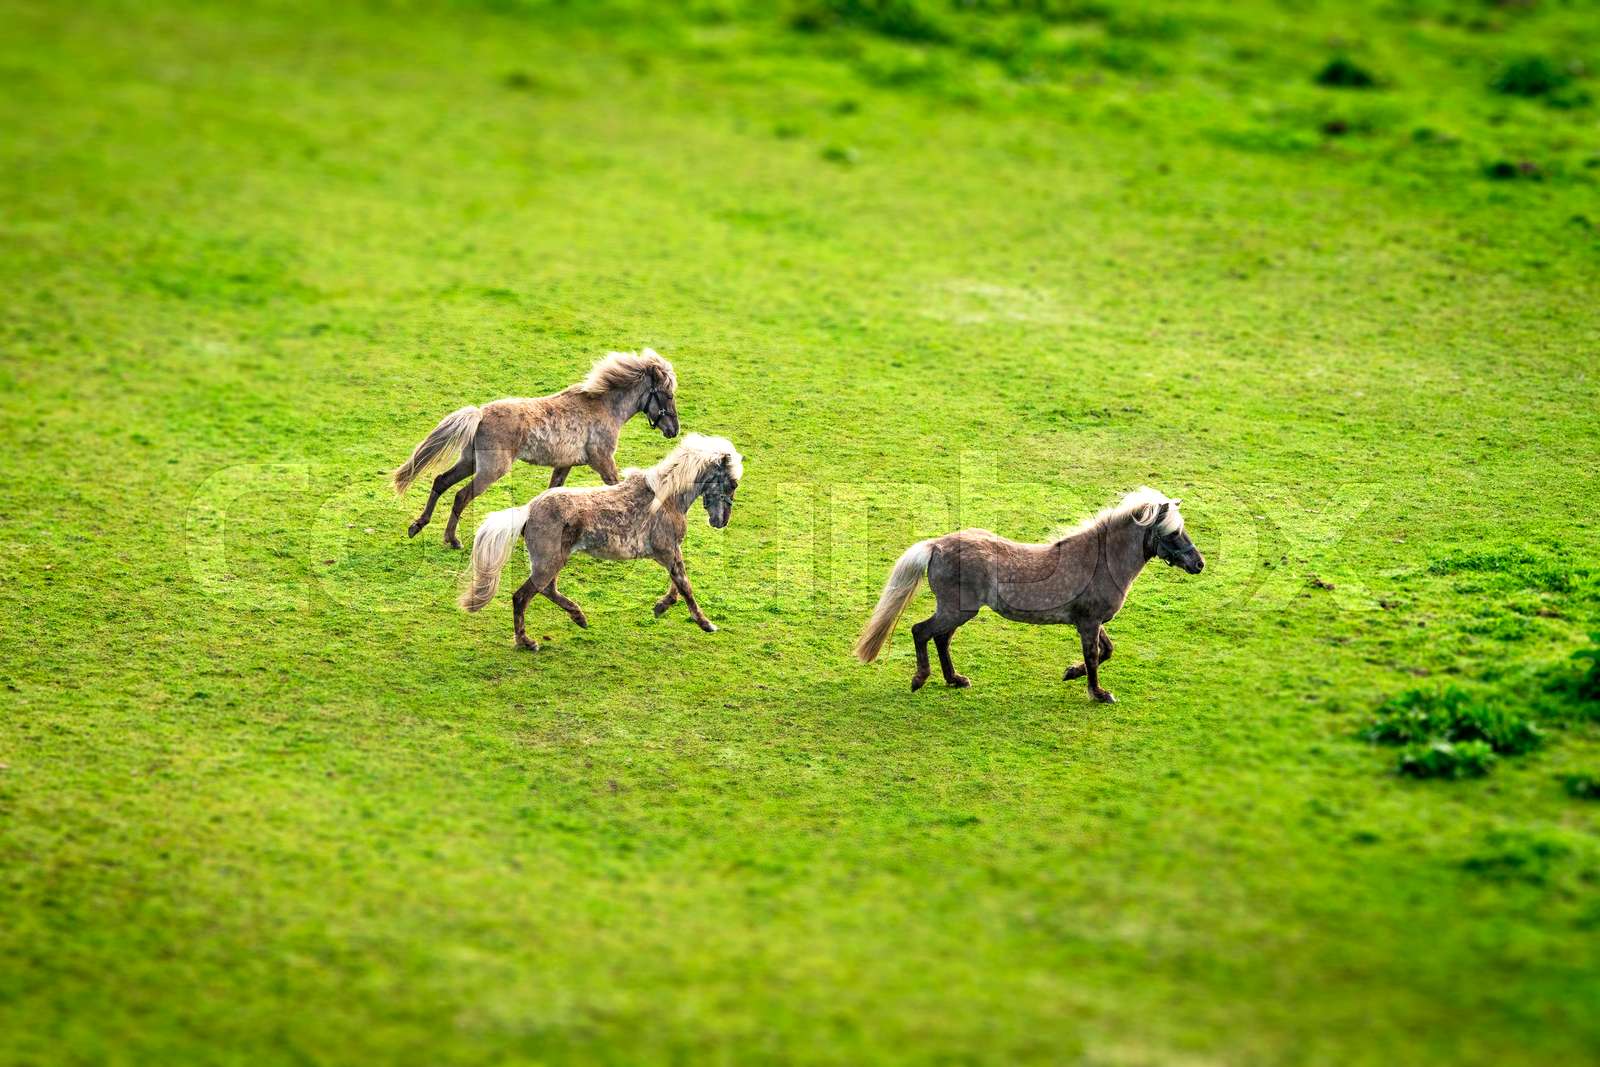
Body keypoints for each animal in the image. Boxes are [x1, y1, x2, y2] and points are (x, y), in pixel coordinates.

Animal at [391, 349, 680, 548]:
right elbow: (616, 490)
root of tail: (480, 413)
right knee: (461, 495)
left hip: (469, 461)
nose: (674, 430)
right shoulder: (602, 460)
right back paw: (451, 540)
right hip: (491, 470)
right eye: (667, 395)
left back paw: (417, 526)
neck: (603, 407)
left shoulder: (565, 465)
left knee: (441, 481)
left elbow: (553, 490)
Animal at [458, 433, 743, 651]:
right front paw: (706, 624)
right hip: (549, 563)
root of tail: (528, 509)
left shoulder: (669, 552)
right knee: (522, 596)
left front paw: (661, 607)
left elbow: (677, 585)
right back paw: (527, 642)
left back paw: (579, 618)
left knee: (548, 590)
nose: (721, 521)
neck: (666, 498)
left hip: (554, 561)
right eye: (732, 483)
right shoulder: (669, 551)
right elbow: (686, 587)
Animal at [853, 488, 1204, 702]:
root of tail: (936, 546)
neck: (1099, 561)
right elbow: (1094, 657)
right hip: (956, 610)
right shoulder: (1088, 623)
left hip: (957, 611)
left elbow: (1106, 652)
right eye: (1173, 533)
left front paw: (1070, 673)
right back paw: (920, 679)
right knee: (921, 631)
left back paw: (955, 679)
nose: (1198, 564)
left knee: (940, 638)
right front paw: (1099, 694)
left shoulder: (1091, 622)